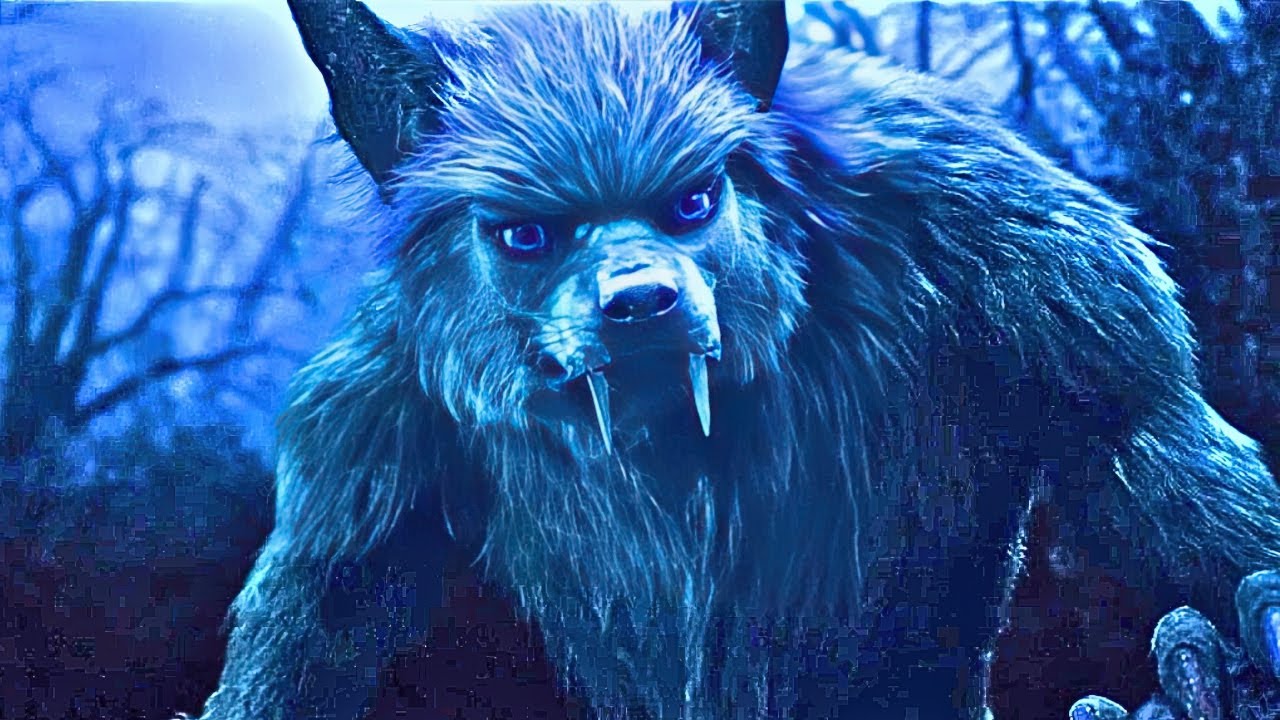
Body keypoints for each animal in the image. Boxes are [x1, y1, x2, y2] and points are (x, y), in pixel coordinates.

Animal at [198, 2, 1280, 719]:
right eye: (524, 235)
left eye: (692, 201)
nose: (640, 302)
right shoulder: (371, 416)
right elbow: (320, 613)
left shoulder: (1046, 276)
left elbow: (1145, 451)